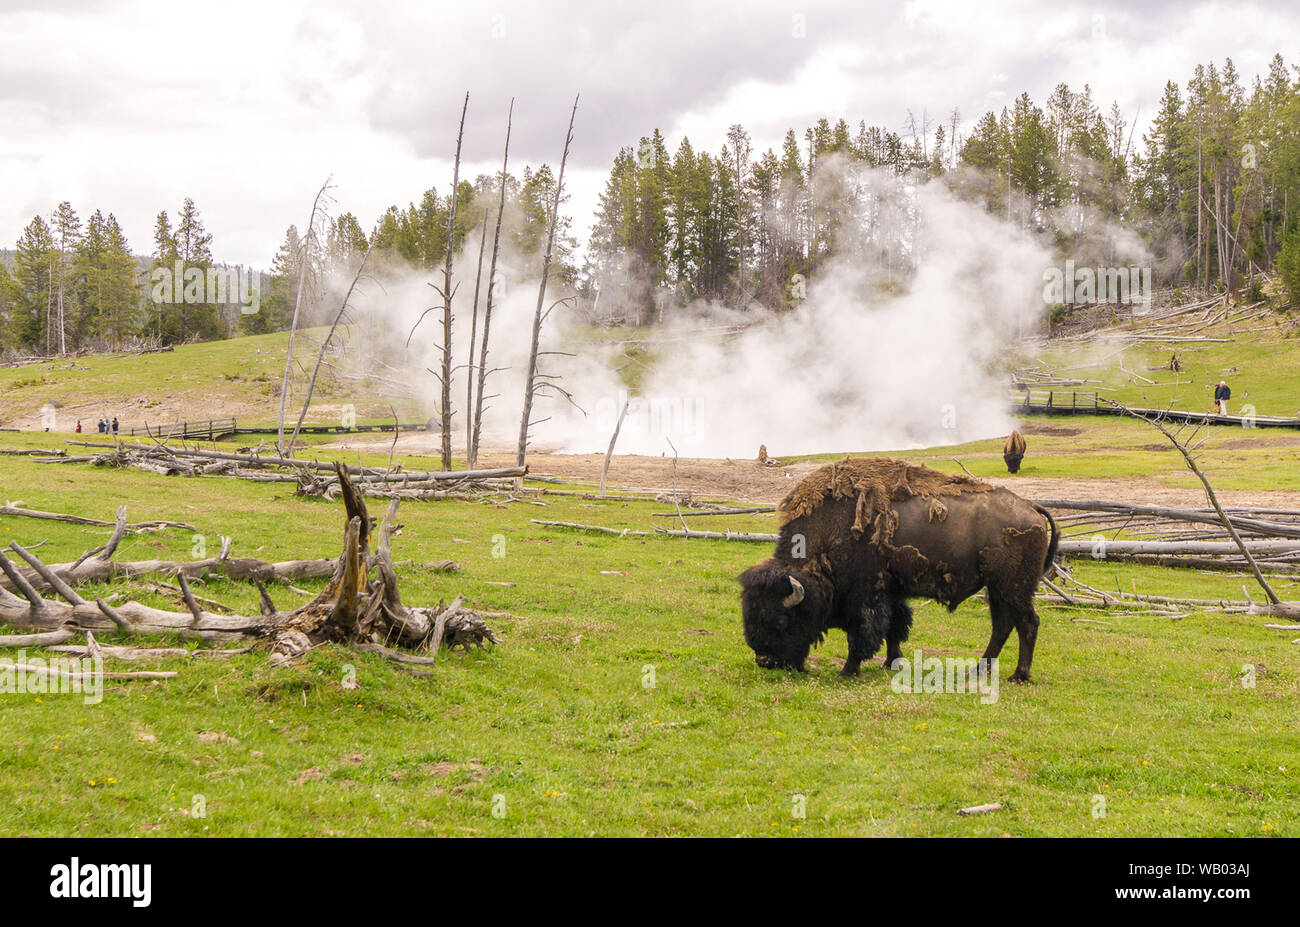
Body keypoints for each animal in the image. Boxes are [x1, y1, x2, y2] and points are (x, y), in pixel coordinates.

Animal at [739, 457, 1058, 682]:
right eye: (749, 614)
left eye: (781, 621)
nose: (765, 661)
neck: (828, 531)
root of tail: (1032, 508)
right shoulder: (892, 591)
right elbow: (895, 626)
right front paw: (892, 662)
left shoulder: (865, 596)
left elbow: (862, 633)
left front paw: (847, 671)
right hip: (997, 588)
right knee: (1002, 625)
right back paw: (978, 670)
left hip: (1013, 587)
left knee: (1027, 623)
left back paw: (1019, 675)